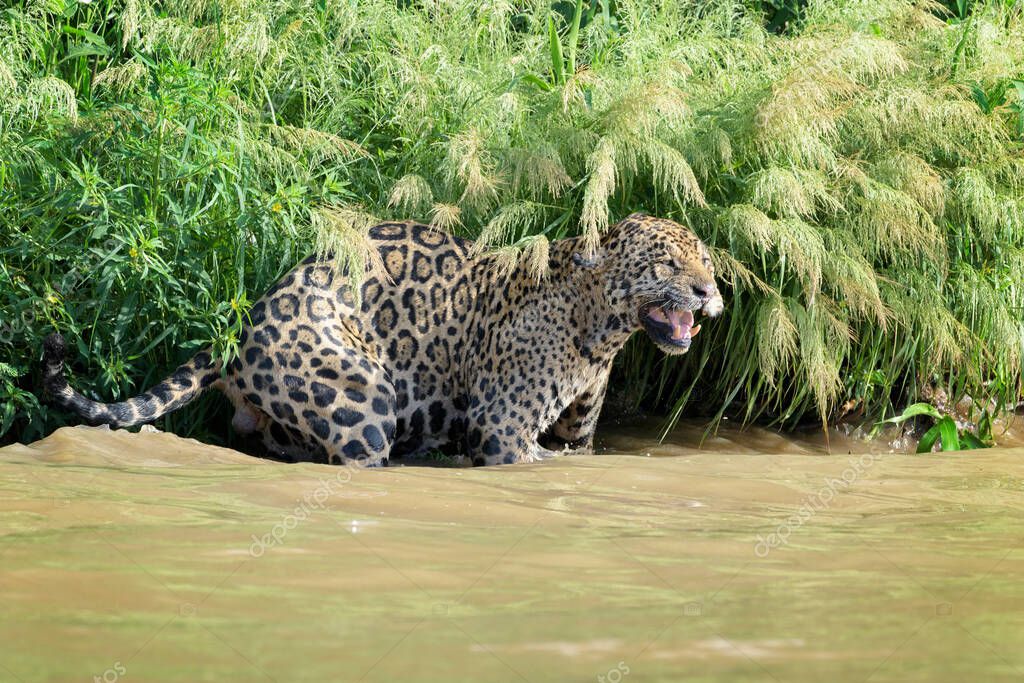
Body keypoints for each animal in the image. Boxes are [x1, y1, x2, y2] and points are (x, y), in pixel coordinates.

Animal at [41, 212, 724, 467]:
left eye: (707, 262)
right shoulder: (501, 432)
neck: (602, 335)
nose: (707, 293)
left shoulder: (577, 436)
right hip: (360, 398)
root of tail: (249, 313)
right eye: (666, 266)